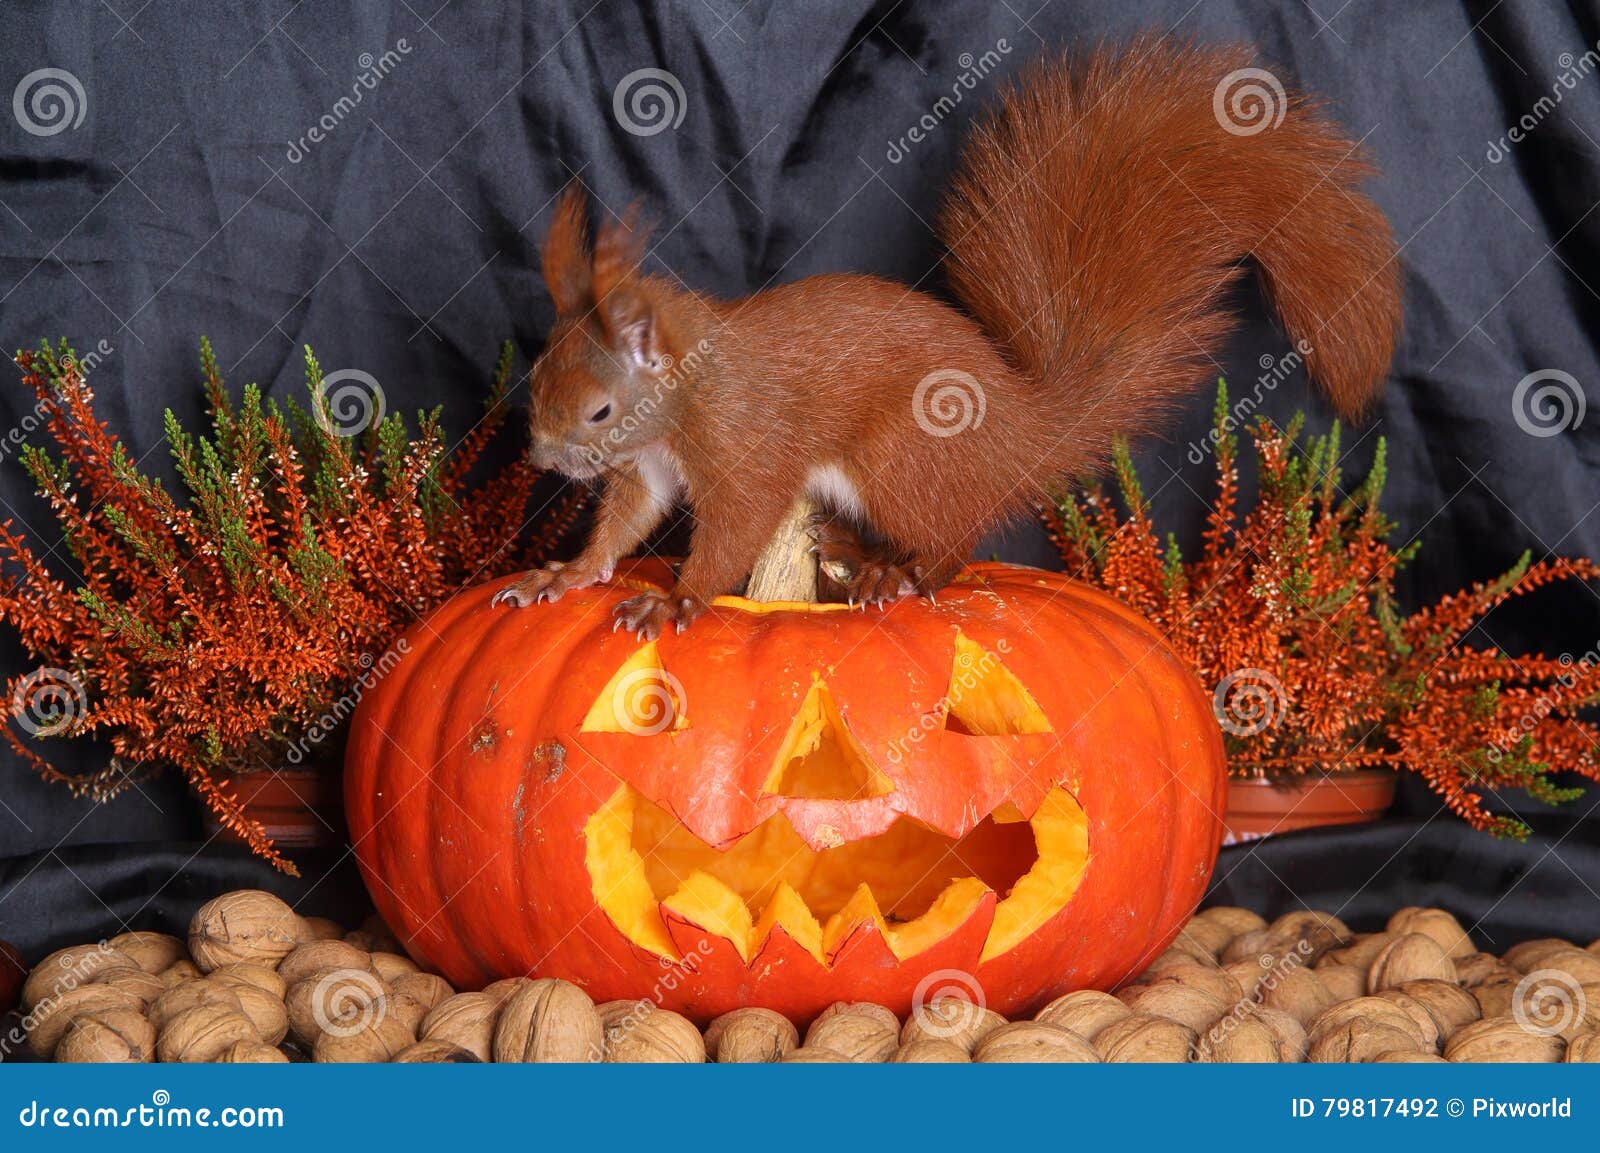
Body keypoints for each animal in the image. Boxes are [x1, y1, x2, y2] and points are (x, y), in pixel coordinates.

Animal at [494, 37, 1402, 639]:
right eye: (536, 377)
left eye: (600, 410)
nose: (540, 456)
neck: (685, 393)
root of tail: (1023, 434)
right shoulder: (648, 466)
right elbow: (622, 525)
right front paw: (565, 575)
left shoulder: (745, 442)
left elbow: (735, 527)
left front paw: (679, 598)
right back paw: (852, 553)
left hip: (902, 457)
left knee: (955, 547)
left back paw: (897, 574)